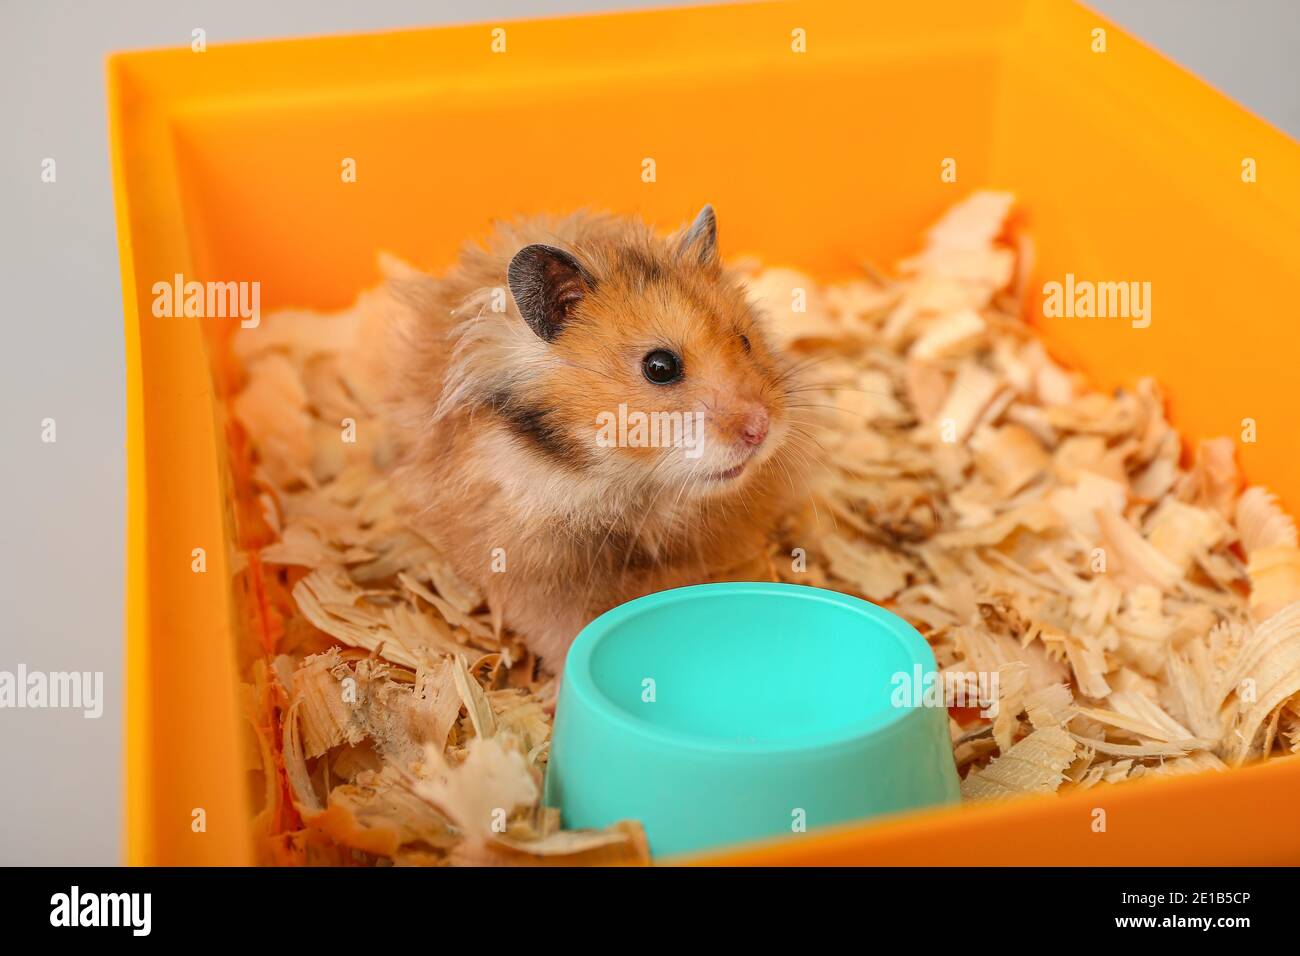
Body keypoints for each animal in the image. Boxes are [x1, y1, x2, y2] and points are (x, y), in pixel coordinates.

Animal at [387, 206, 800, 668]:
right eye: (660, 367)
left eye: (745, 341)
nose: (760, 429)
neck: (626, 486)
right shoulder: (536, 578)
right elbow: (561, 635)